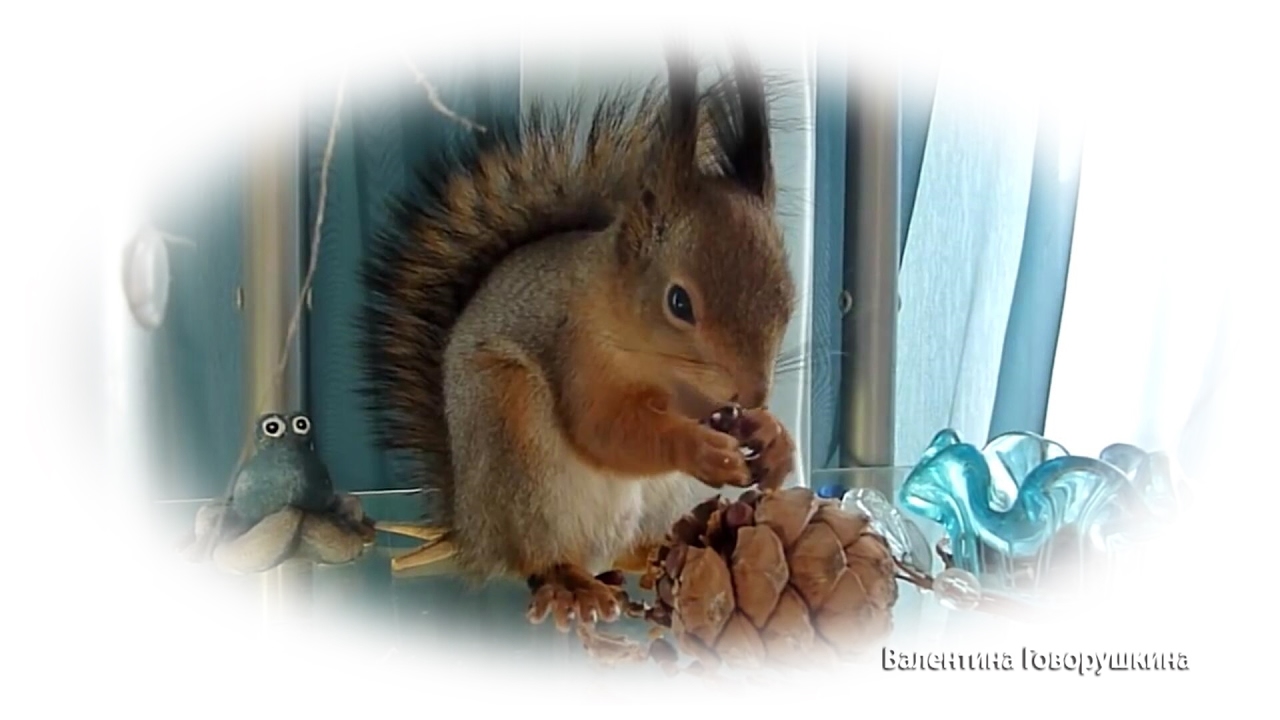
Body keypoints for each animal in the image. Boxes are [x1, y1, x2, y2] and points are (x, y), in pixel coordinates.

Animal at [361, 43, 798, 631]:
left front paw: (773, 439)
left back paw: (663, 554)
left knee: (630, 548)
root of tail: (471, 535)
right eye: (679, 302)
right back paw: (572, 585)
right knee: (538, 557)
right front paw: (700, 447)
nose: (753, 394)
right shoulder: (578, 355)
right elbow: (604, 429)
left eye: (789, 292)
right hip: (516, 441)